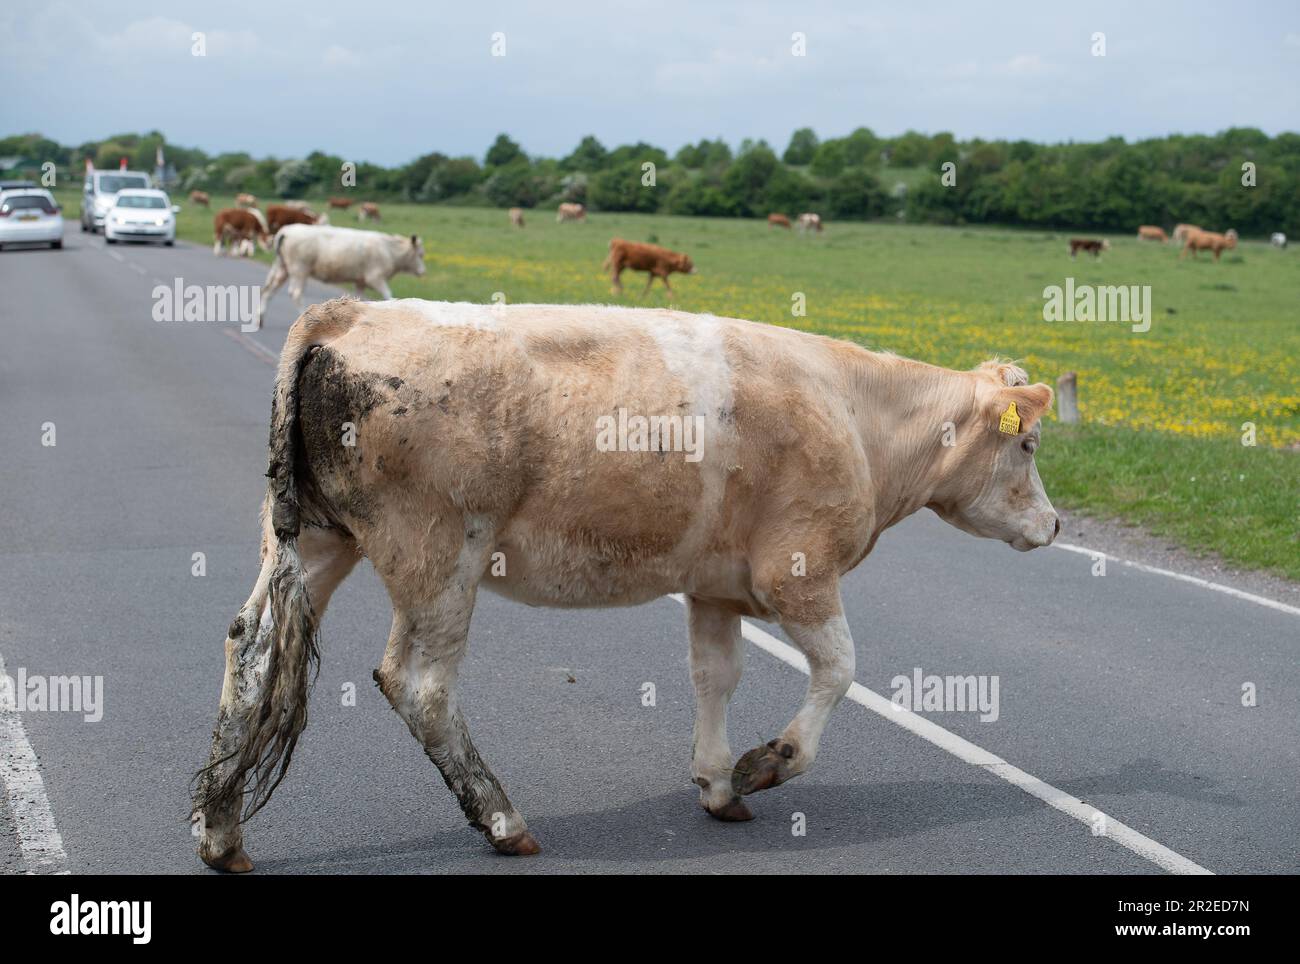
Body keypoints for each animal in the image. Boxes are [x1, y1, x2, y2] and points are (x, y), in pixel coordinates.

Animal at [190, 298, 1060, 872]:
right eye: (1030, 445)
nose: (1054, 526)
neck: (854, 413)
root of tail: (345, 312)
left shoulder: (715, 585)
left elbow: (716, 675)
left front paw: (717, 783)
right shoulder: (798, 569)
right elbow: (840, 669)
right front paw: (768, 762)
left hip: (314, 538)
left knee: (250, 649)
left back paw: (219, 833)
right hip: (441, 555)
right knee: (419, 683)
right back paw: (503, 820)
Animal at [256, 224, 425, 326]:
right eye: (420, 254)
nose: (423, 271)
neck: (389, 249)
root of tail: (287, 230)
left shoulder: (360, 281)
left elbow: (360, 298)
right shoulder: (375, 278)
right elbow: (389, 296)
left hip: (282, 269)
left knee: (269, 290)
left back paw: (260, 318)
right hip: (299, 269)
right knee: (296, 293)